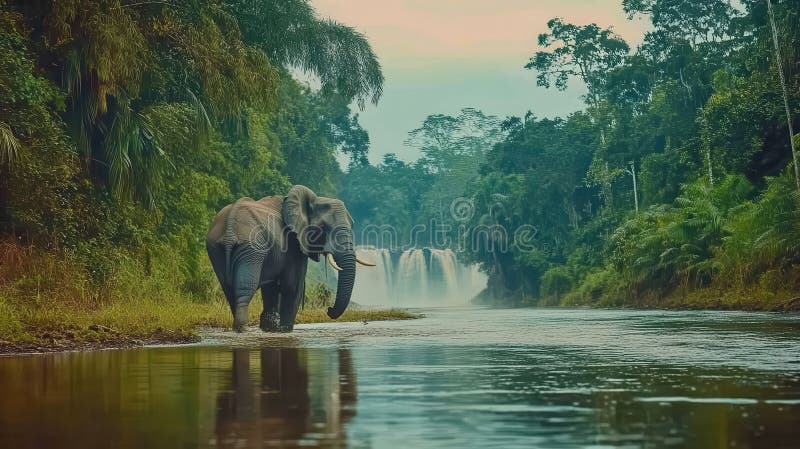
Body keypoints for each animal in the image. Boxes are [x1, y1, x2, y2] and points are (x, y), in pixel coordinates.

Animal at [206, 185, 374, 332]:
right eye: (323, 227)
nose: (329, 309)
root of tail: (229, 229)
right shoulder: (293, 245)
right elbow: (292, 286)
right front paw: (285, 330)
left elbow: (272, 286)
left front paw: (271, 328)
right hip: (251, 248)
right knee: (244, 287)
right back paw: (243, 329)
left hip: (217, 248)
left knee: (229, 289)